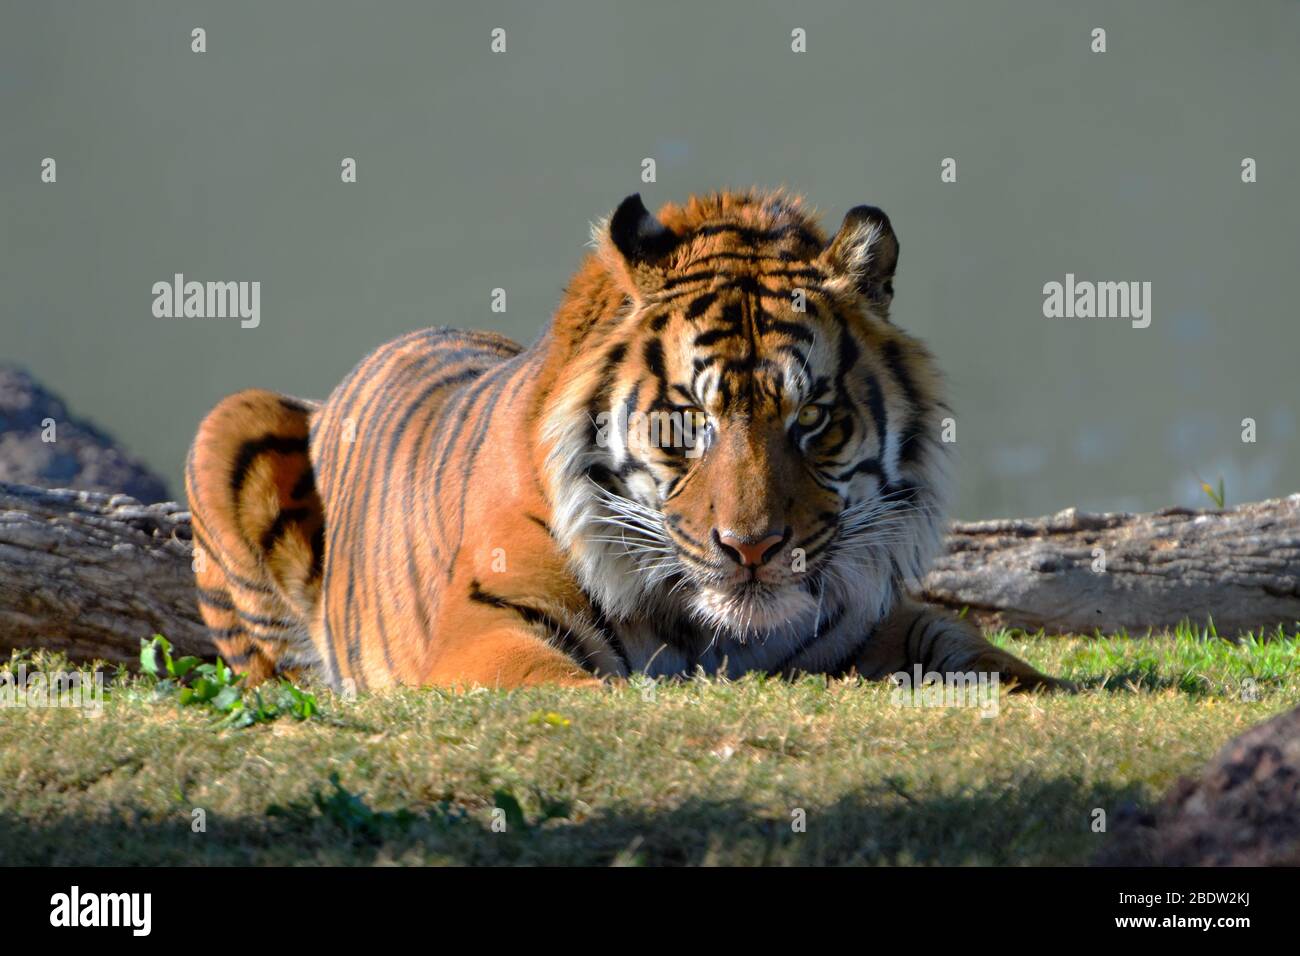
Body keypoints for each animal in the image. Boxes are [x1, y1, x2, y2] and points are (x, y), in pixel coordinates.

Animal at [185, 188, 1063, 692]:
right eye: (688, 419)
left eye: (811, 416)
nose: (752, 549)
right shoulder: (485, 628)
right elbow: (570, 689)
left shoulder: (875, 617)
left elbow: (976, 649)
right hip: (228, 422)